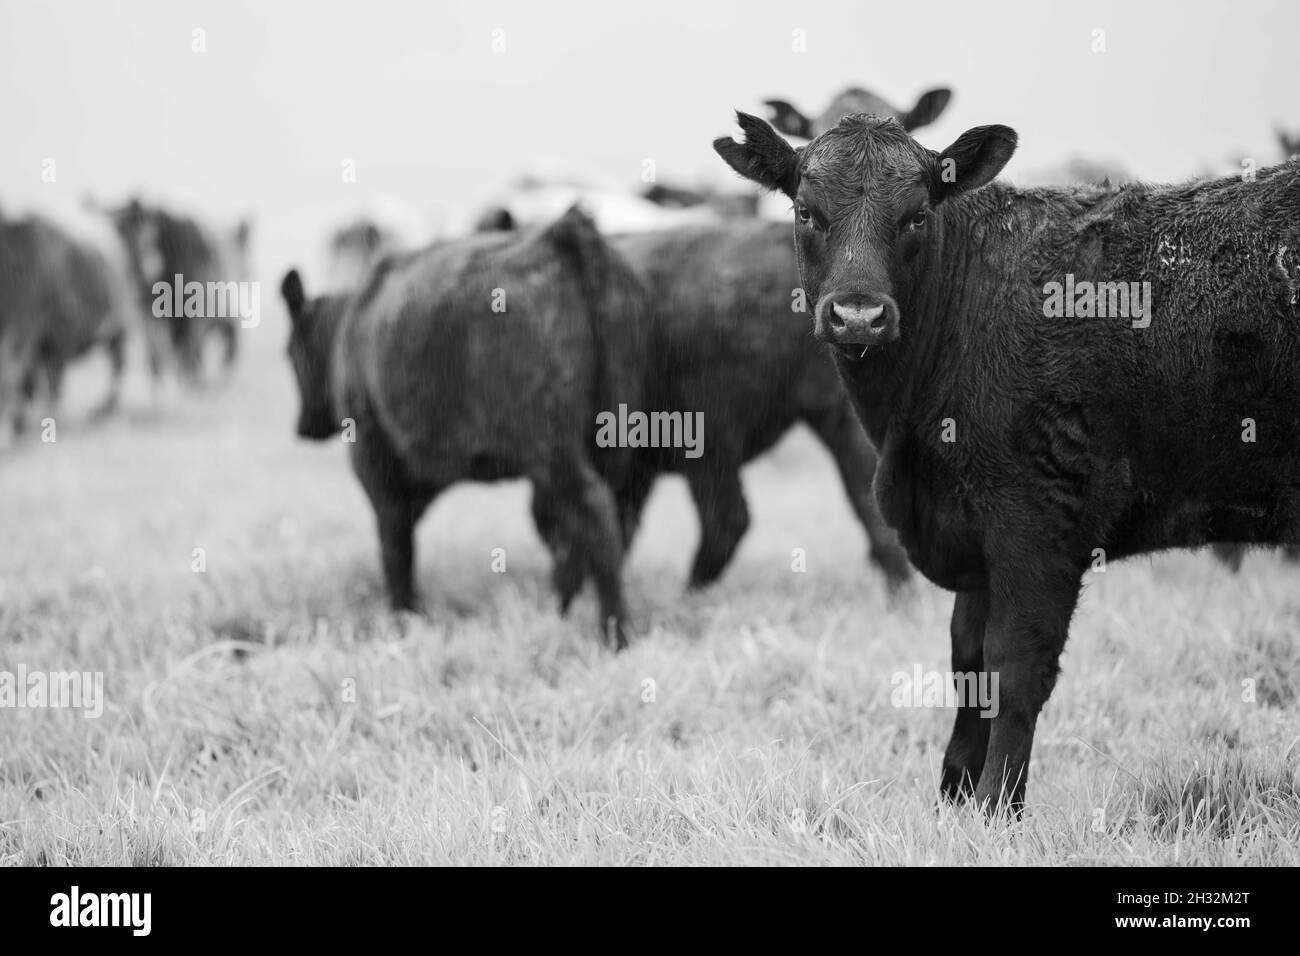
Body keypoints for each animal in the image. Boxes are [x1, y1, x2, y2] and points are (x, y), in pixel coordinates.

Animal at [280, 207, 646, 648]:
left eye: (289, 353)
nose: (303, 426)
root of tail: (563, 235)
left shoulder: (374, 458)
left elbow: (395, 544)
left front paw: (403, 618)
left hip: (555, 453)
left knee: (596, 518)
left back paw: (616, 633)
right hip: (609, 446)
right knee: (606, 522)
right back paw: (568, 613)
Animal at [714, 109, 1300, 813]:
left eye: (916, 216)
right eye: (807, 211)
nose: (858, 315)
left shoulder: (1038, 521)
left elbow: (1015, 668)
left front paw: (998, 804)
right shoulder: (973, 534)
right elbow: (968, 662)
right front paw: (955, 796)